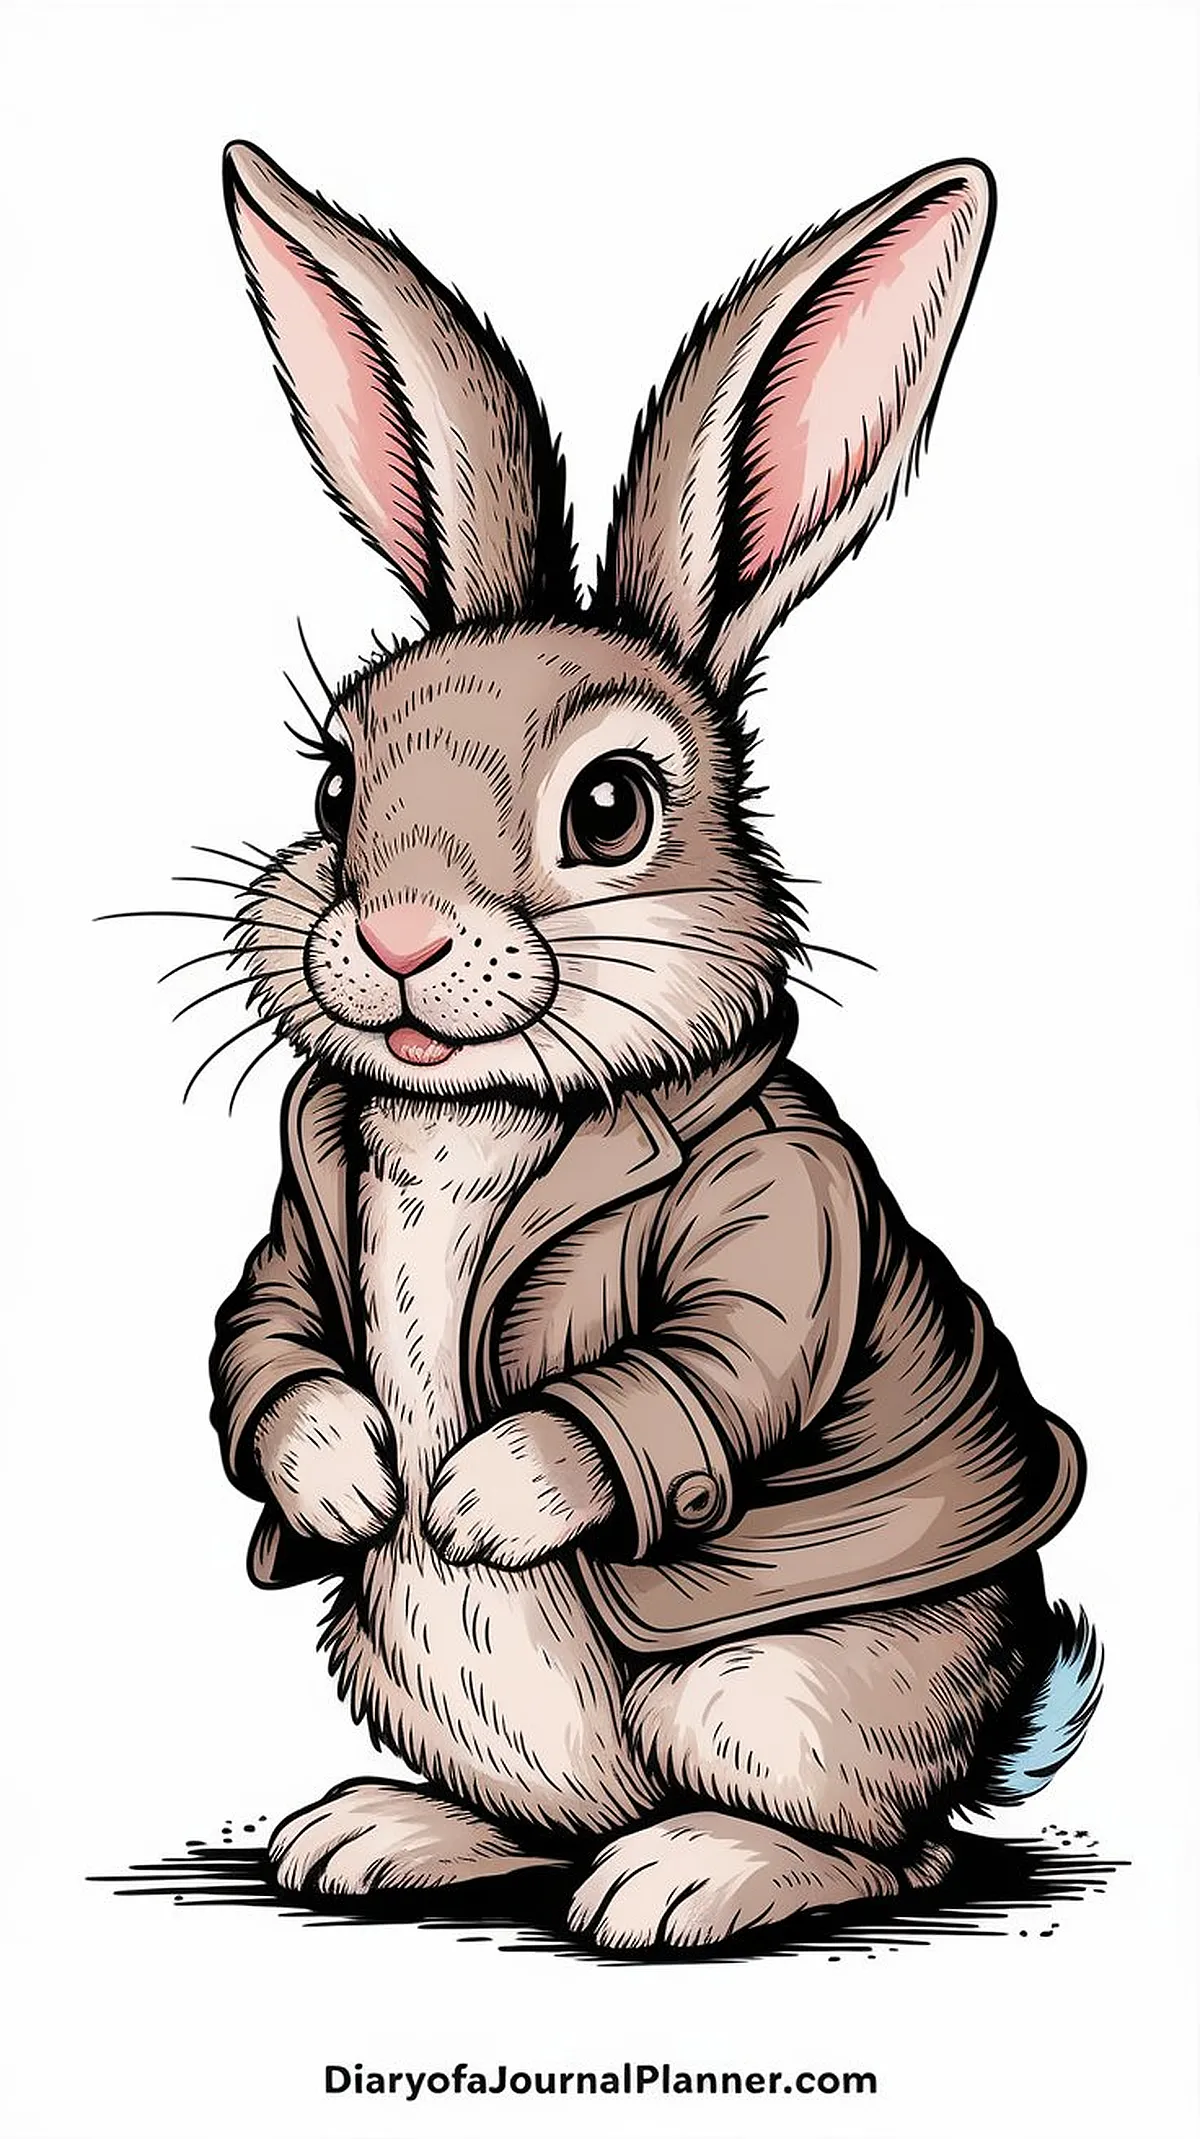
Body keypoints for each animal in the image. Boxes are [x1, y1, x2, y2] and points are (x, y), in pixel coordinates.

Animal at [207, 141, 1101, 1952]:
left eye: (611, 808)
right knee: (544, 1815)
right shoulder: (298, 1212)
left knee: (889, 1851)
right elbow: (266, 1336)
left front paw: (477, 1492)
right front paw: (350, 1478)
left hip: (766, 1688)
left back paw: (688, 1874)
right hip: (404, 1659)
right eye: (336, 784)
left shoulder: (779, 1213)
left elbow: (715, 1361)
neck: (491, 1111)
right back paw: (380, 1830)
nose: (395, 933)